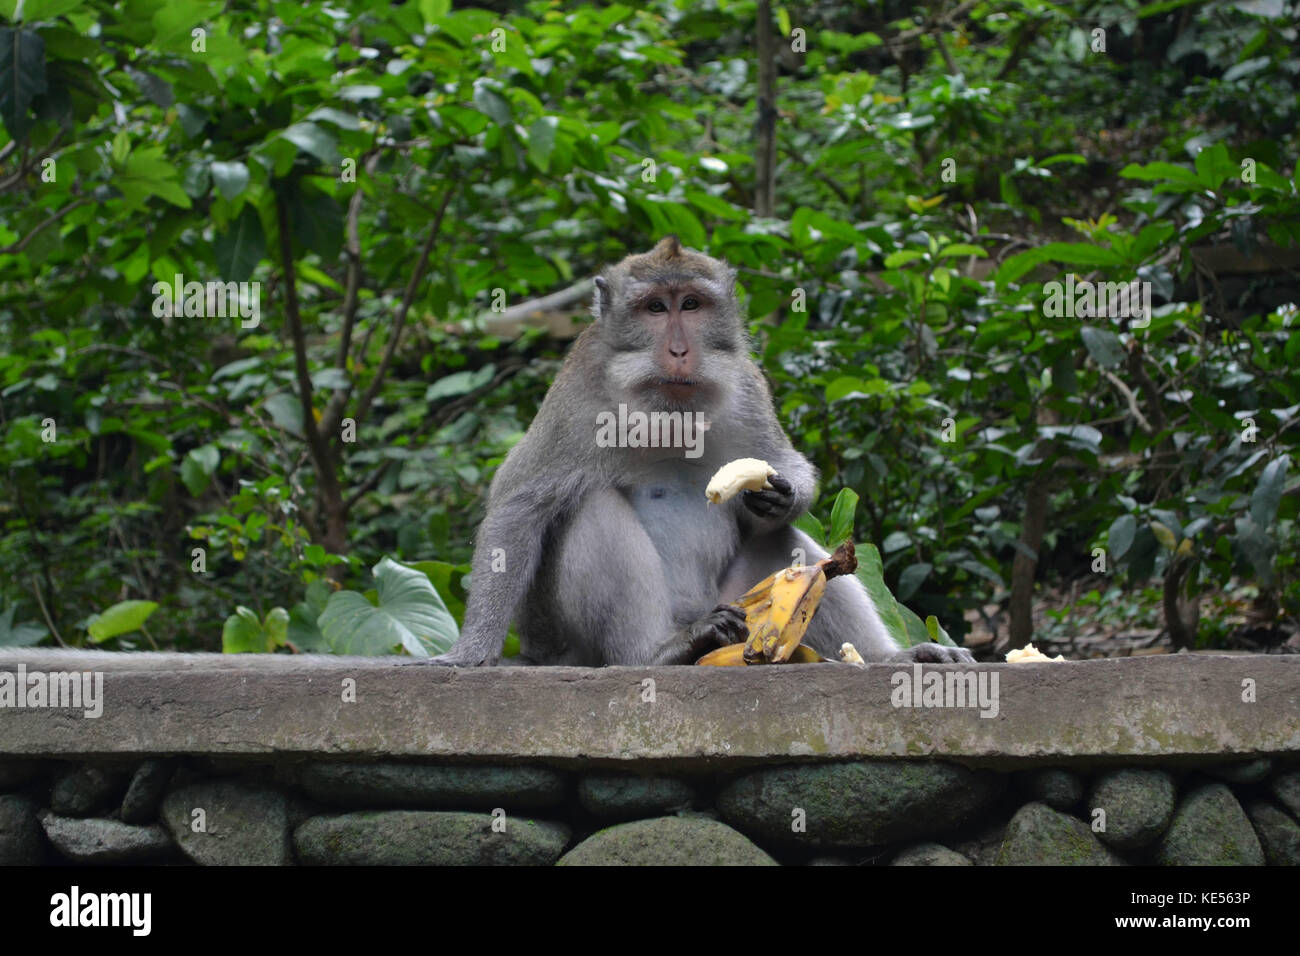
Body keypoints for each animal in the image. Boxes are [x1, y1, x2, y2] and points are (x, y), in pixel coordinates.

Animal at [429, 237, 974, 667]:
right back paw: (657, 653)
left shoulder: (748, 386)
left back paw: (892, 656)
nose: (678, 351)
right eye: (655, 308)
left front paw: (783, 493)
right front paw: (468, 654)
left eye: (690, 304)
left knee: (789, 549)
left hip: (740, 605)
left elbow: (783, 465)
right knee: (592, 507)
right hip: (581, 643)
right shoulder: (577, 399)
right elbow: (518, 505)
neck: (669, 413)